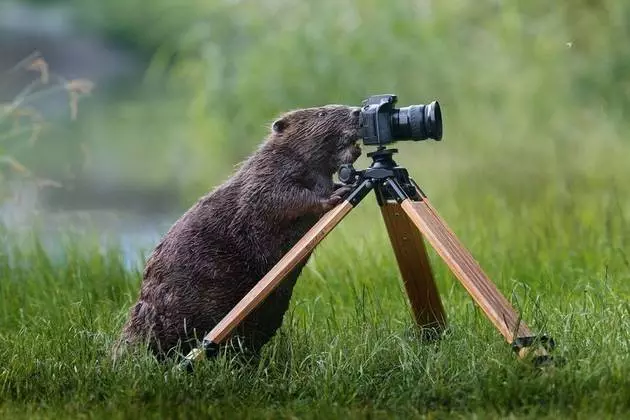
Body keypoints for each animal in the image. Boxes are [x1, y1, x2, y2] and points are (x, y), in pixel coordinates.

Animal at [117, 103, 366, 360]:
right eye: (322, 113)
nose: (357, 111)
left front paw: (344, 179)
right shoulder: (265, 177)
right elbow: (281, 197)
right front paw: (335, 195)